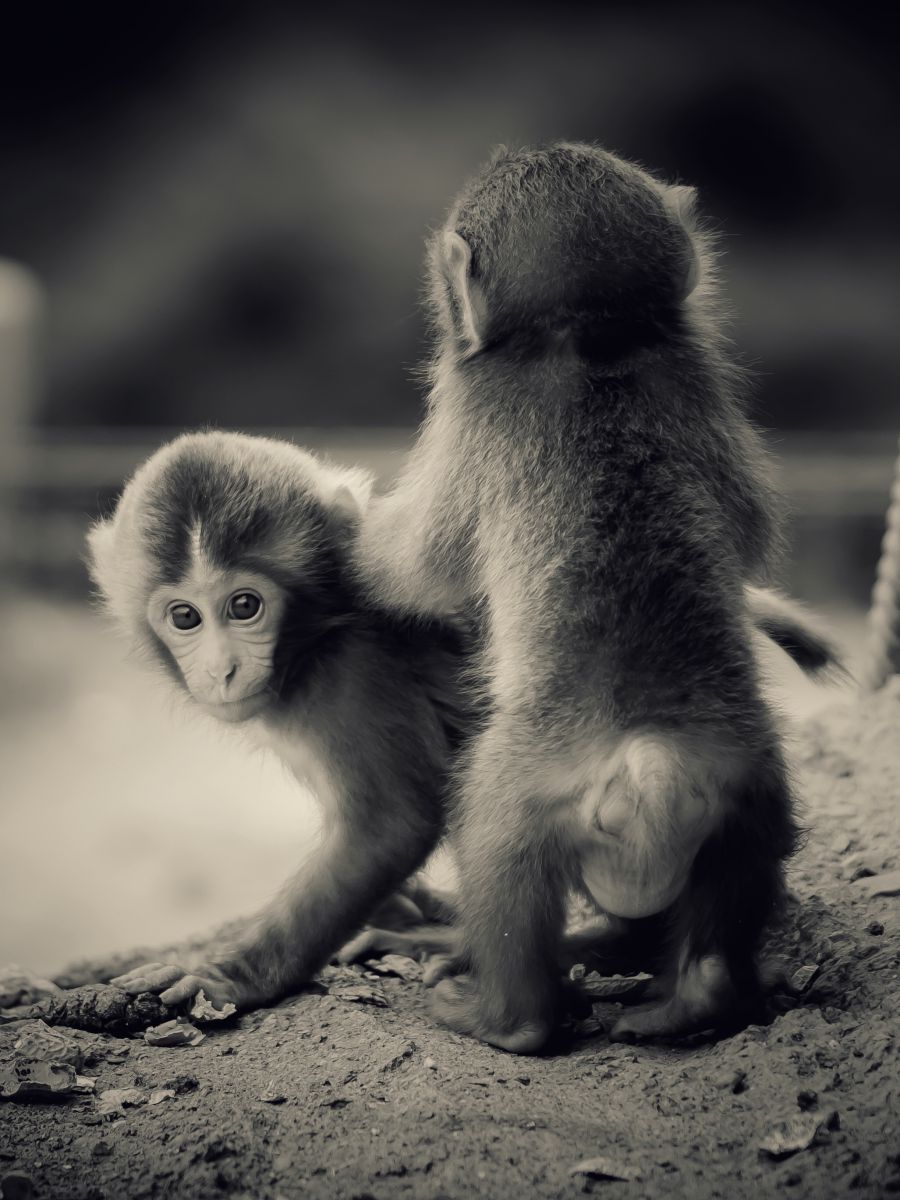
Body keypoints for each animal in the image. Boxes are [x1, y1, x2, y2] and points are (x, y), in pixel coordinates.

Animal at [88, 430, 478, 1012]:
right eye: (185, 617)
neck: (315, 638)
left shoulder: (355, 673)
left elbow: (388, 825)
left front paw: (226, 977)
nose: (221, 670)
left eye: (244, 606)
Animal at [353, 142, 803, 1052]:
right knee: (739, 871)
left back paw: (503, 1011)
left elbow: (415, 566)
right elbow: (749, 532)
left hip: (530, 788)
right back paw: (699, 993)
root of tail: (650, 756)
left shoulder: (474, 405)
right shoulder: (694, 372)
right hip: (747, 791)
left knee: (495, 845)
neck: (592, 334)